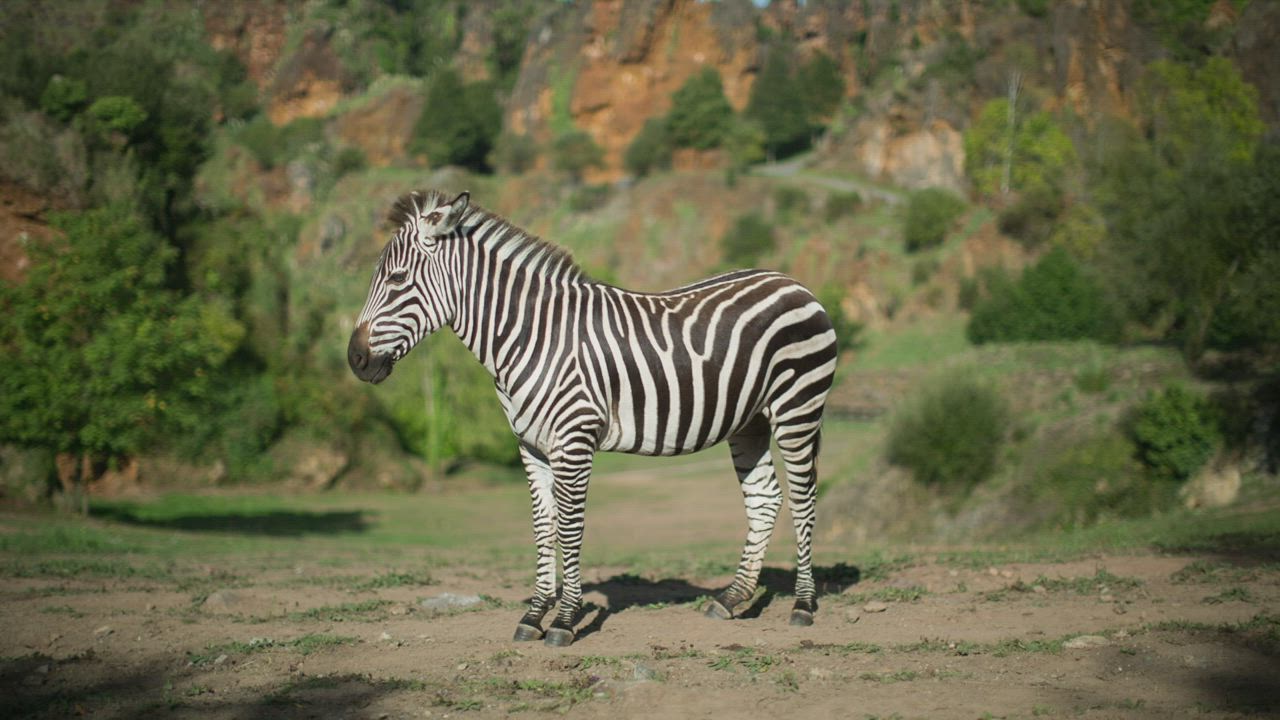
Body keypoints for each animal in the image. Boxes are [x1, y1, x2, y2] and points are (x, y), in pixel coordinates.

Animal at [348, 189, 838, 646]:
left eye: (396, 279)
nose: (355, 360)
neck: (532, 336)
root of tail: (792, 282)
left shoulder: (574, 437)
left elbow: (569, 526)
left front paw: (564, 621)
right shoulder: (531, 445)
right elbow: (543, 526)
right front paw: (534, 616)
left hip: (798, 407)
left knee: (804, 498)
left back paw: (803, 605)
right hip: (749, 421)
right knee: (765, 498)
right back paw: (732, 599)